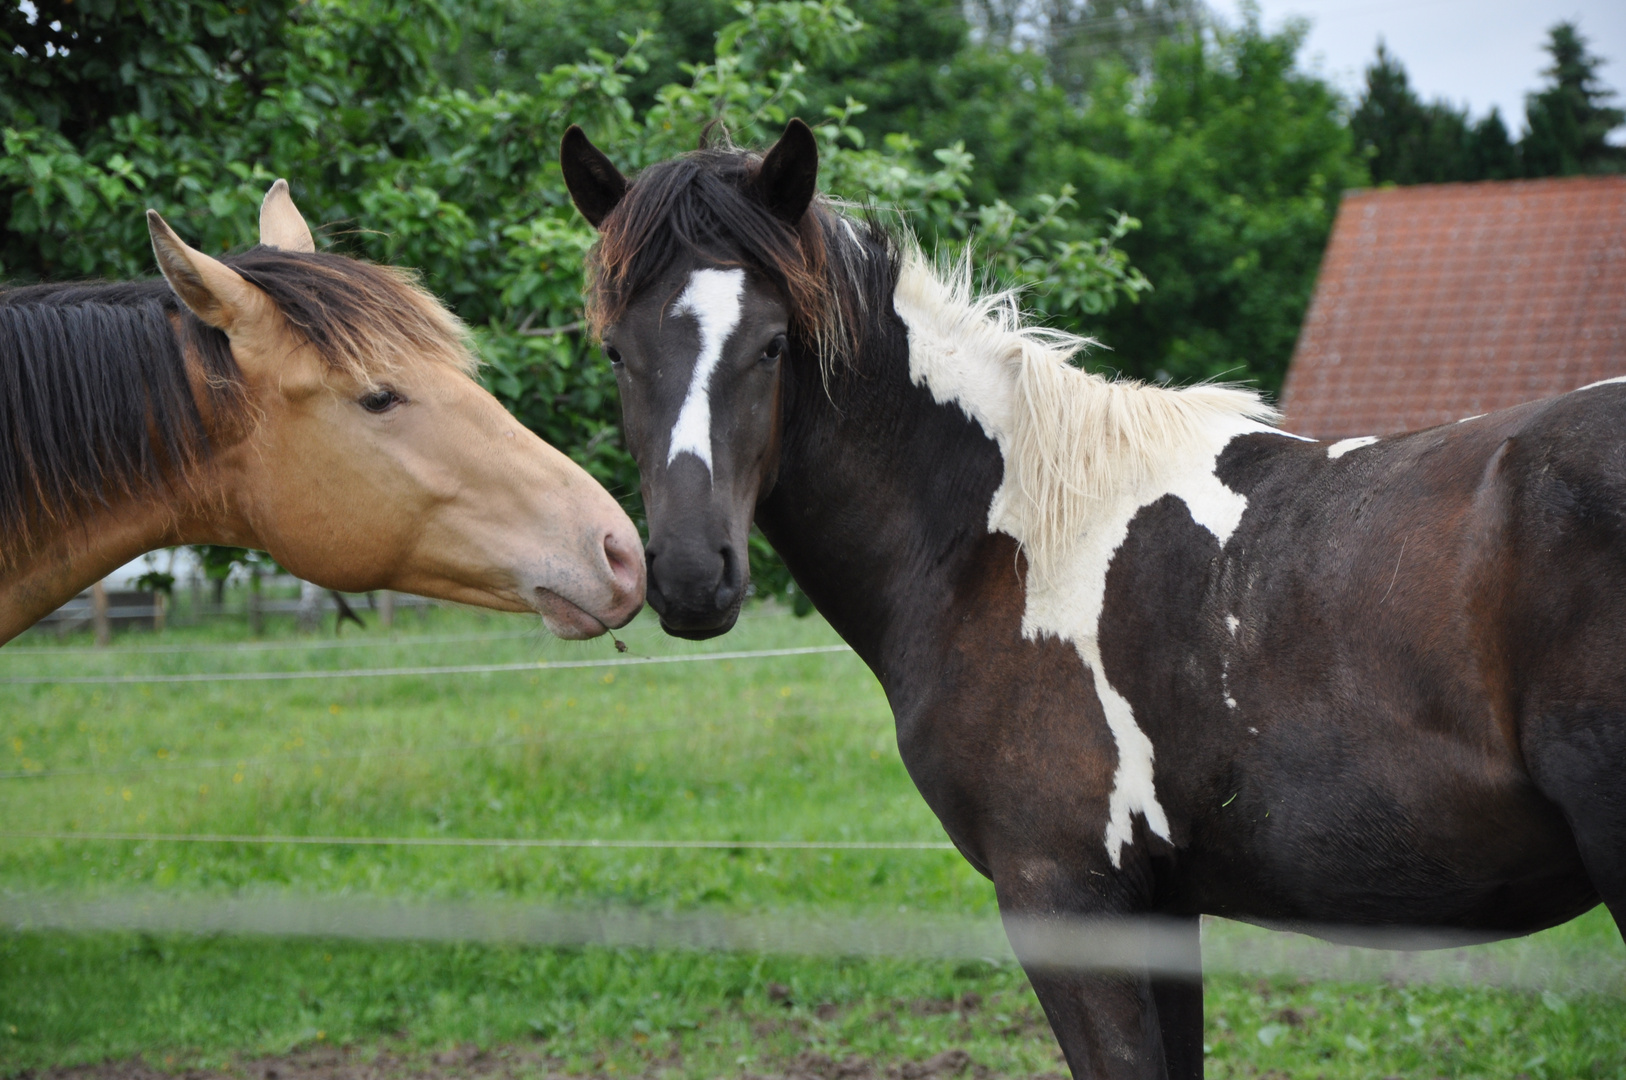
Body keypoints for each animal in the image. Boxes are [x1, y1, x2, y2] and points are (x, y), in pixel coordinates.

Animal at [560, 120, 1626, 1078]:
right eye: (614, 352)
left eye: (774, 344)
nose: (690, 576)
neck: (1003, 544)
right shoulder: (1160, 909)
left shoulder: (1067, 899)